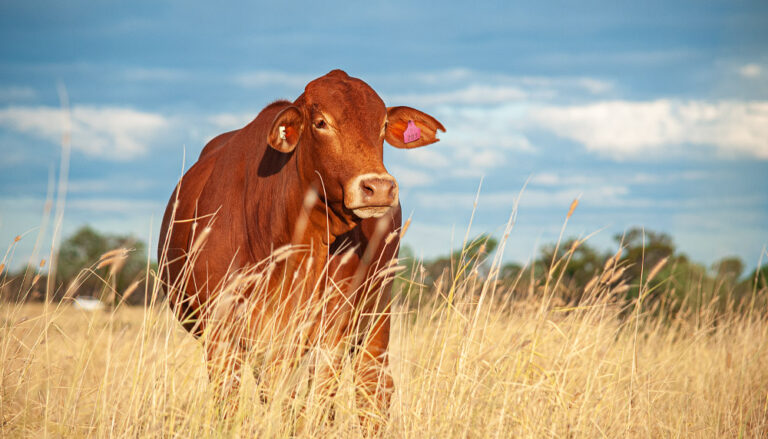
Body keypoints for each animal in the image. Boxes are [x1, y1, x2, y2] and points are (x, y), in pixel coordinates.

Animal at [157, 69, 445, 427]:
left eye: (381, 126)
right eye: (321, 123)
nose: (378, 187)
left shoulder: (331, 333)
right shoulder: (223, 334)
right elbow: (235, 407)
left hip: (375, 317)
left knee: (372, 389)